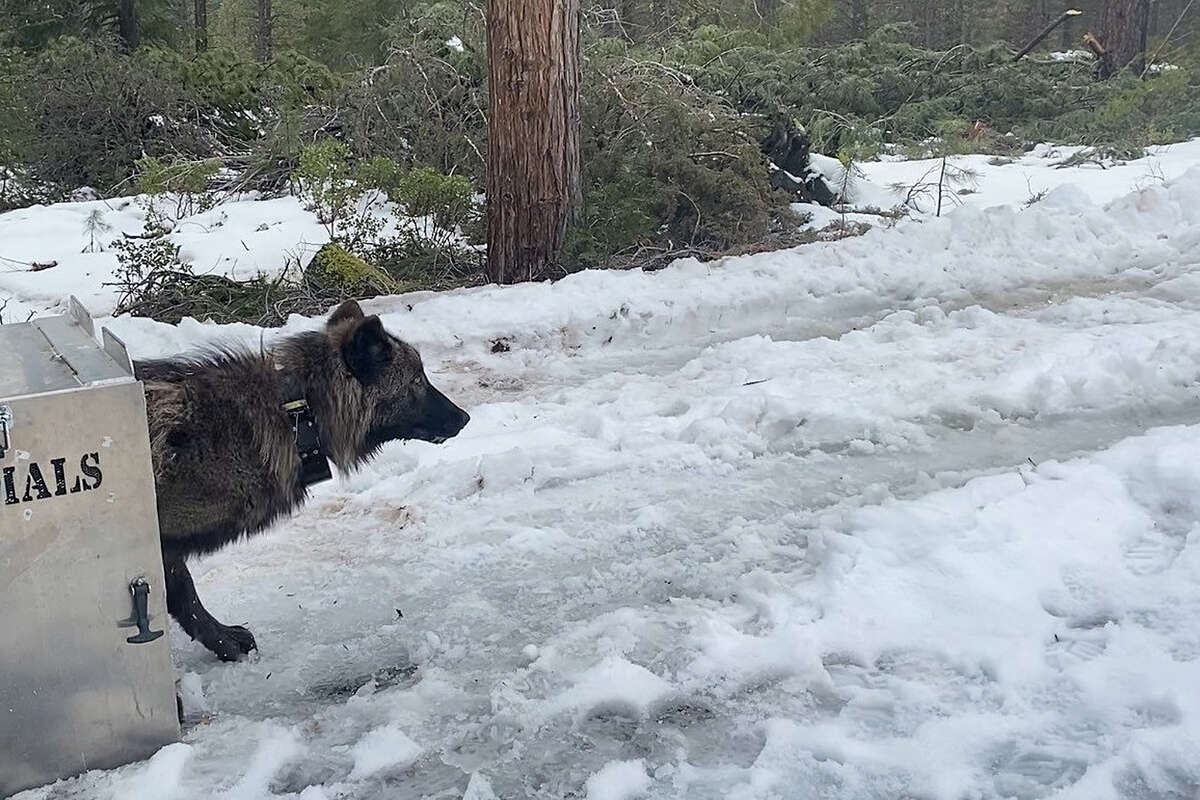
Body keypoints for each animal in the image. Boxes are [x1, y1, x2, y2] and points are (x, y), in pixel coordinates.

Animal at [135, 300, 469, 661]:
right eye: (417, 381)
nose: (465, 418)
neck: (295, 415)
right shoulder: (160, 546)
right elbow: (185, 596)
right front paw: (222, 643)